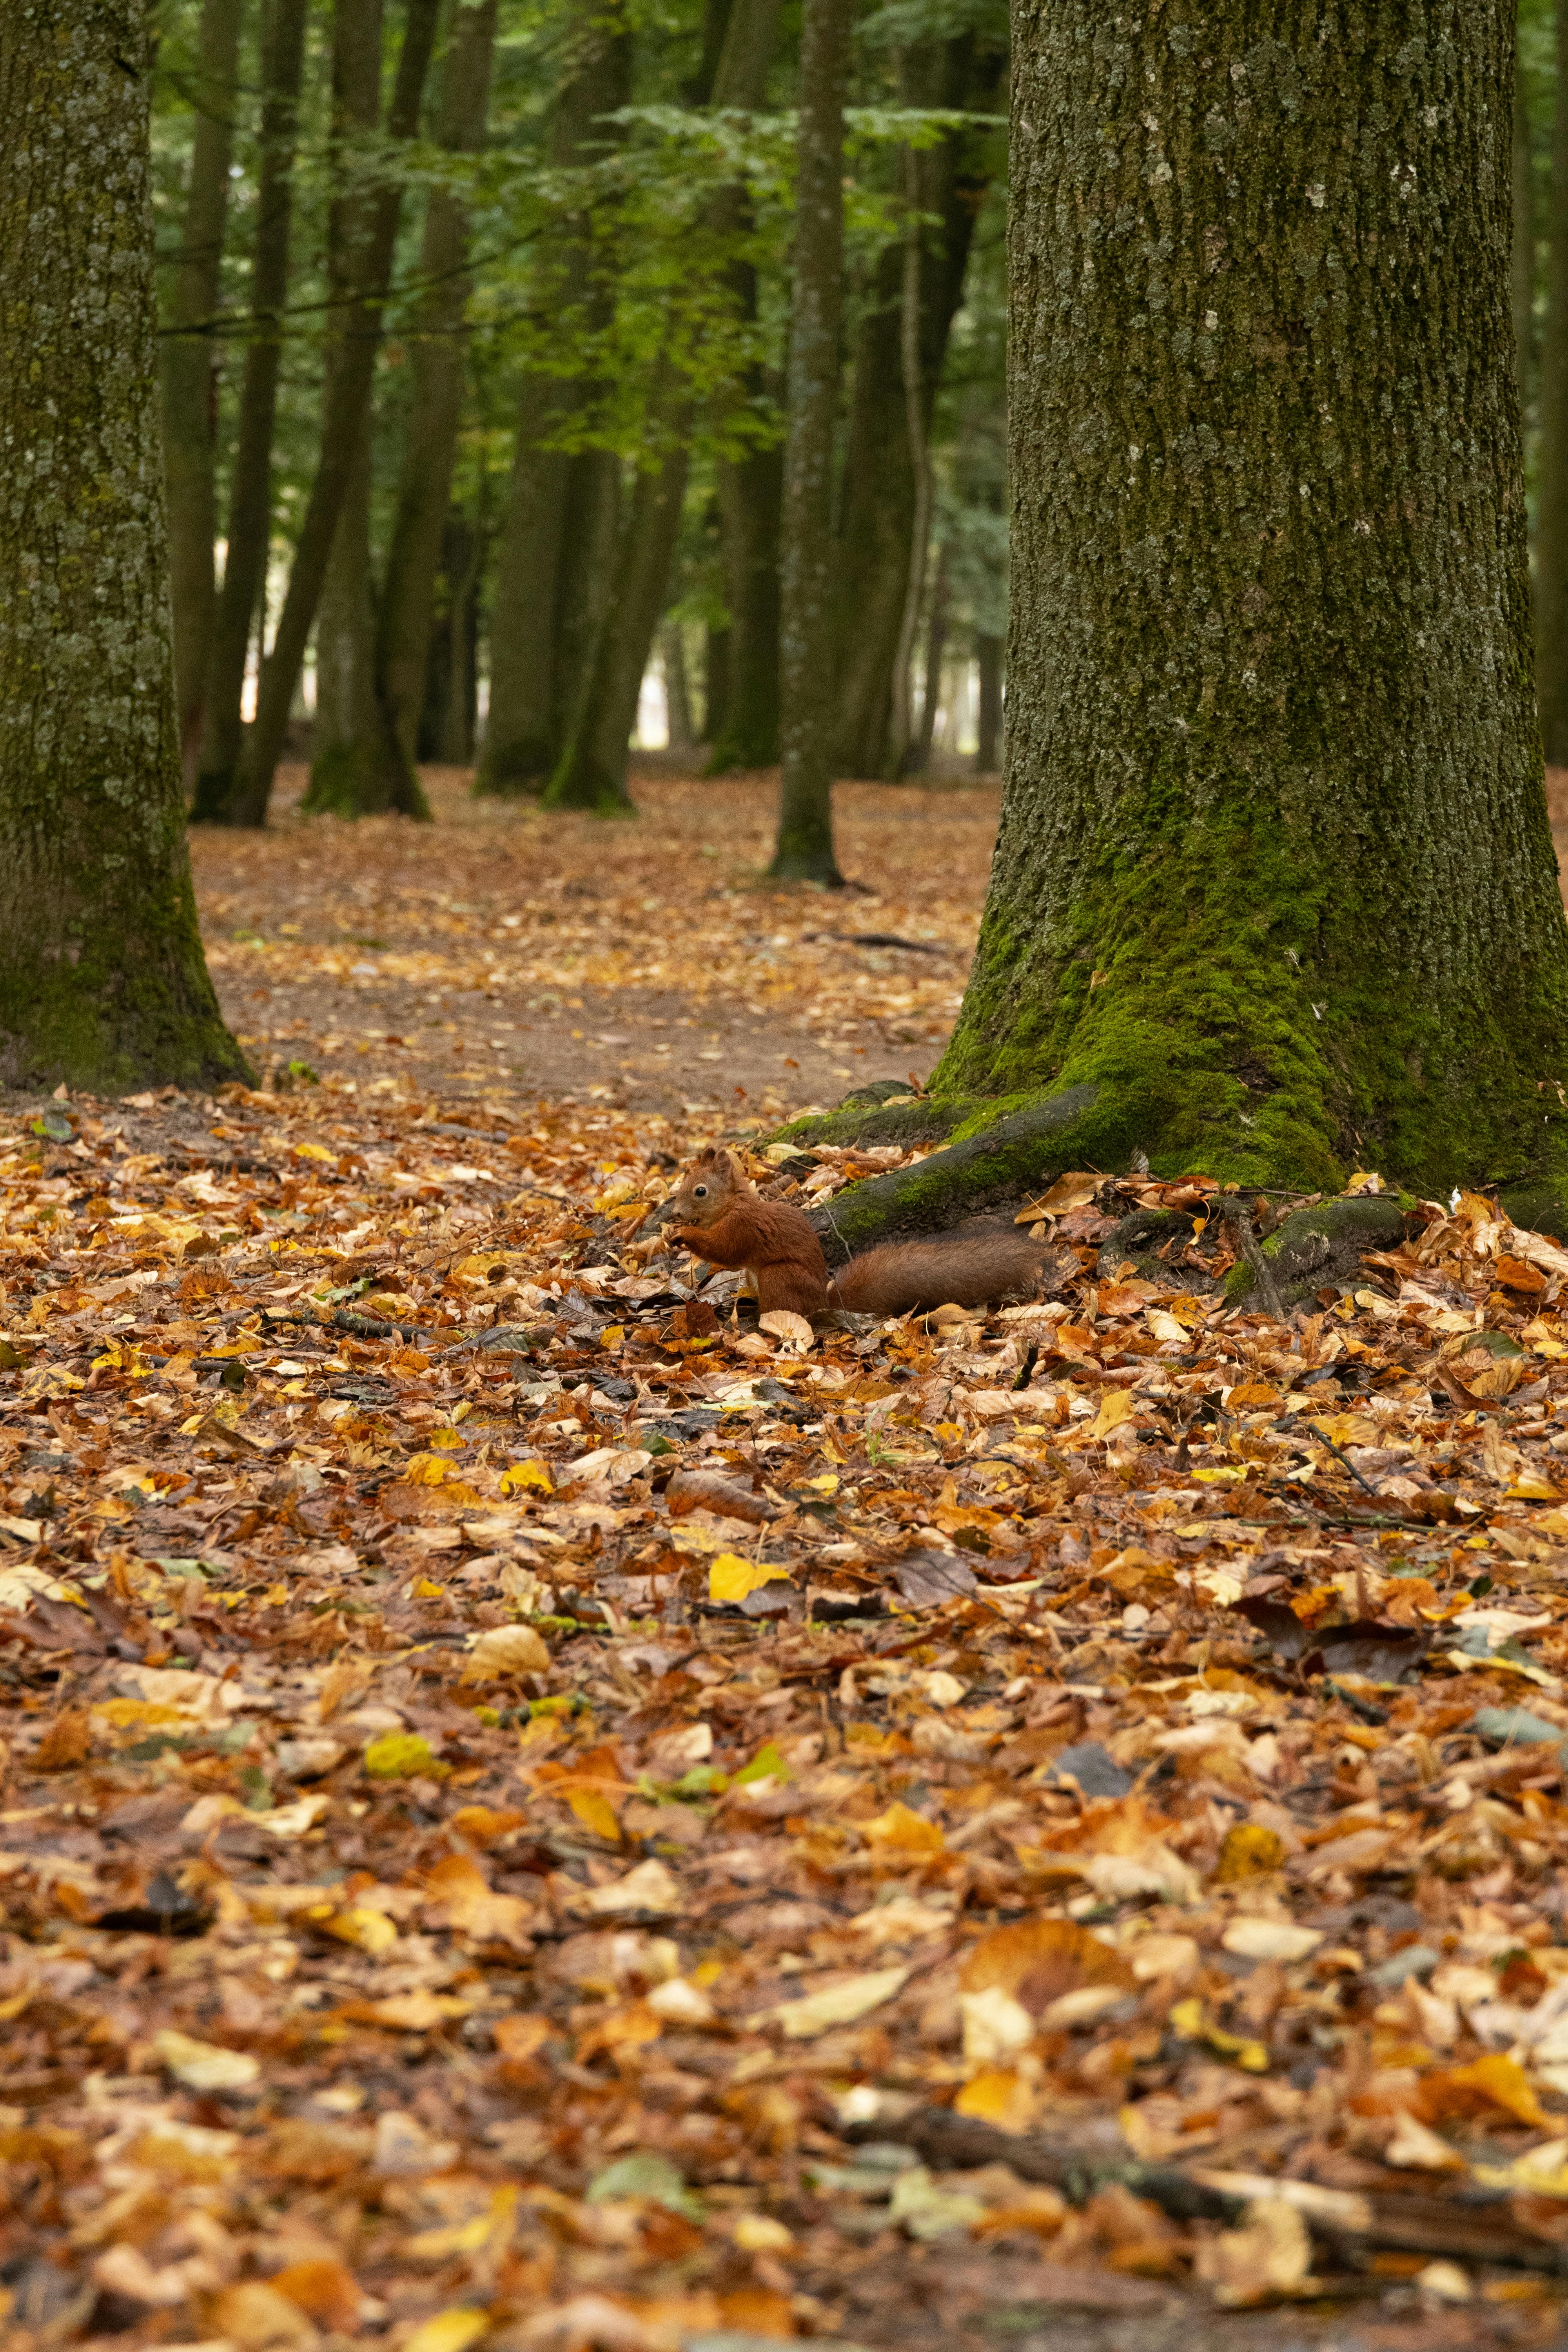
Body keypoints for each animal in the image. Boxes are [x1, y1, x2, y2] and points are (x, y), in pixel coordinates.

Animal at [663, 1145, 1047, 1319]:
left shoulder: (743, 1226)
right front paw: (671, 1235)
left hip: (780, 1276)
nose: (676, 1213)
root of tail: (823, 1301)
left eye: (700, 1191)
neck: (734, 1204)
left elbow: (725, 1250)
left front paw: (683, 1236)